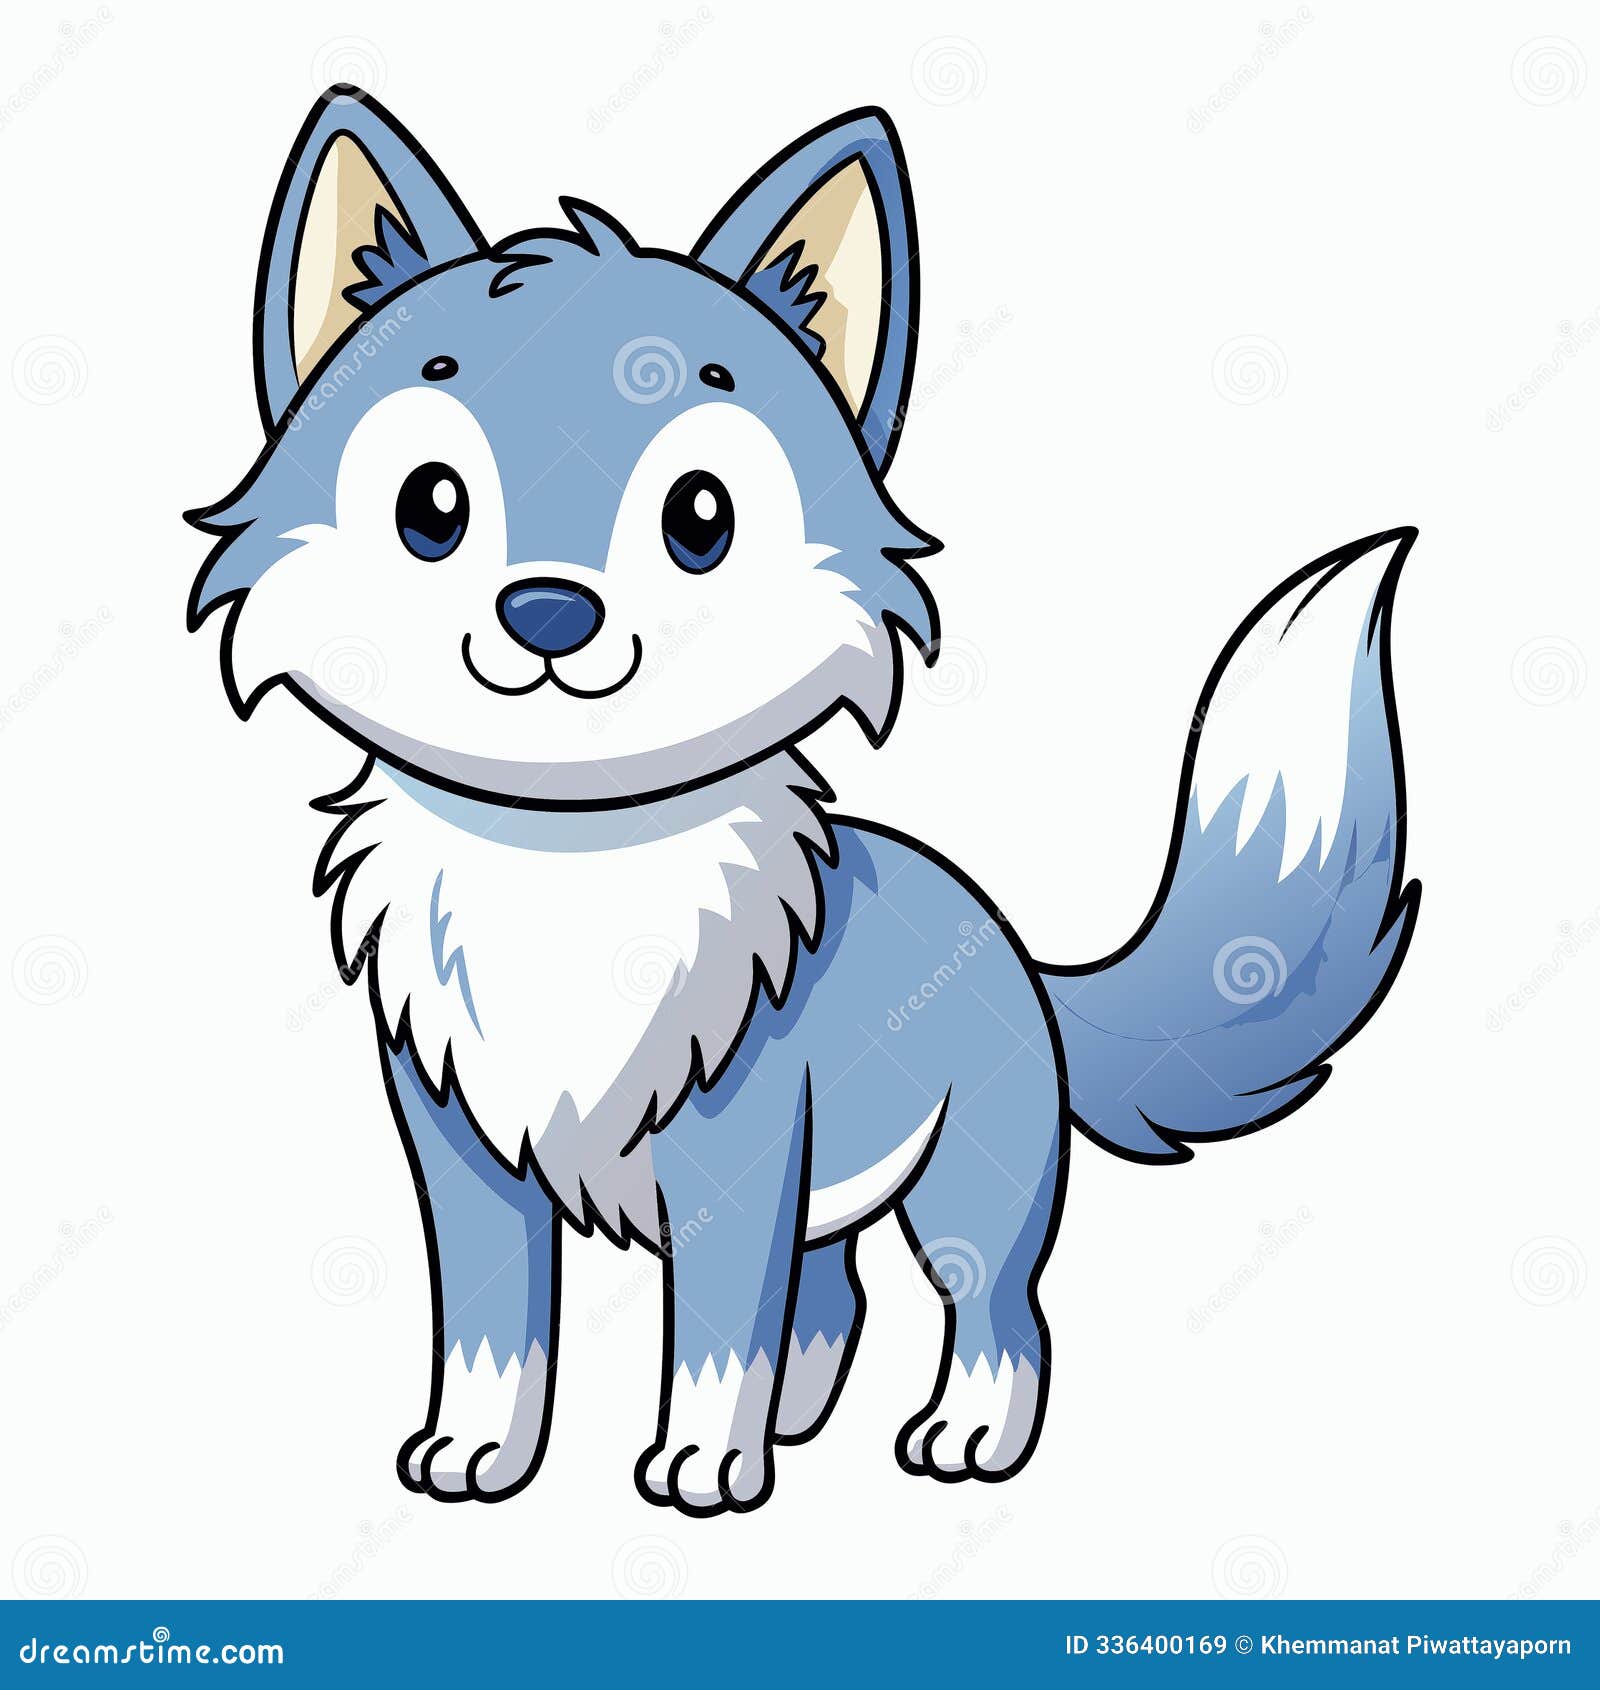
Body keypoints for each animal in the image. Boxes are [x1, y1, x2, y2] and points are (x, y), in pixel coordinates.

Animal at [187, 88, 1420, 1516]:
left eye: (699, 518)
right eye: (430, 507)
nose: (547, 611)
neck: (564, 866)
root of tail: (1009, 937)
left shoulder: (739, 1142)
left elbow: (718, 1330)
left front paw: (701, 1465)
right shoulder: (464, 1142)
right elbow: (496, 1328)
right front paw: (479, 1455)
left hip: (967, 1187)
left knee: (996, 1312)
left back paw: (958, 1434)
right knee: (836, 1298)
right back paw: (798, 1418)